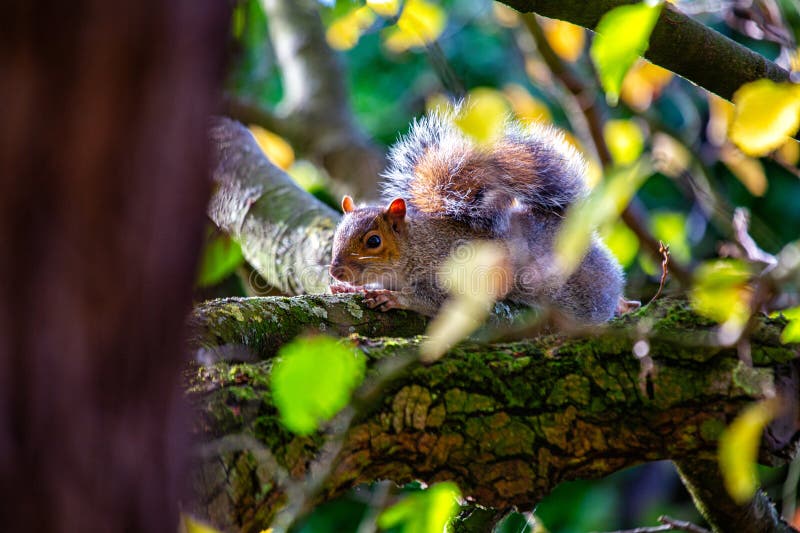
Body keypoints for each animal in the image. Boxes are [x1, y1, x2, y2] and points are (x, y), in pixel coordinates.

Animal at [329, 110, 626, 323]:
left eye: (374, 241)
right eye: (336, 235)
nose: (335, 271)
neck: (417, 246)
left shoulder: (452, 275)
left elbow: (434, 302)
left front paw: (393, 297)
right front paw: (348, 289)